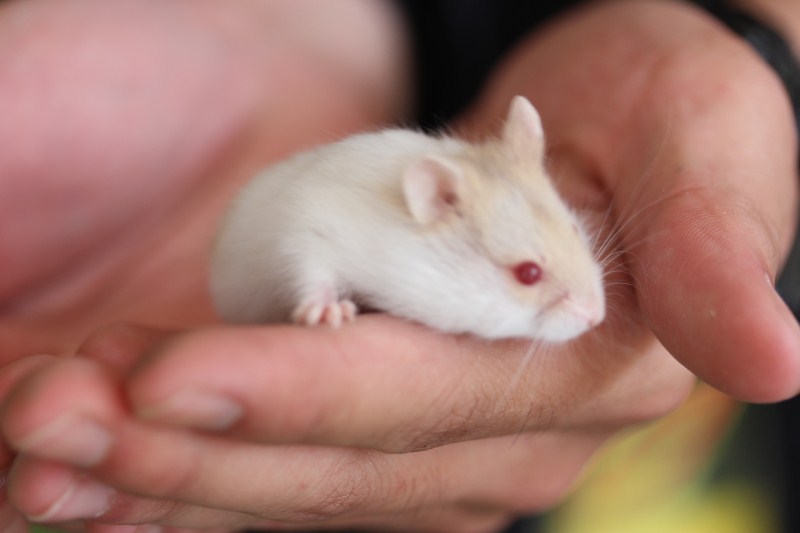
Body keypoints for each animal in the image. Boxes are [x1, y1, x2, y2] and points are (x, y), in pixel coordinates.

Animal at [210, 96, 605, 342]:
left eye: (574, 229)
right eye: (528, 273)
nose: (597, 318)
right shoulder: (305, 228)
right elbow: (312, 271)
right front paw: (330, 315)